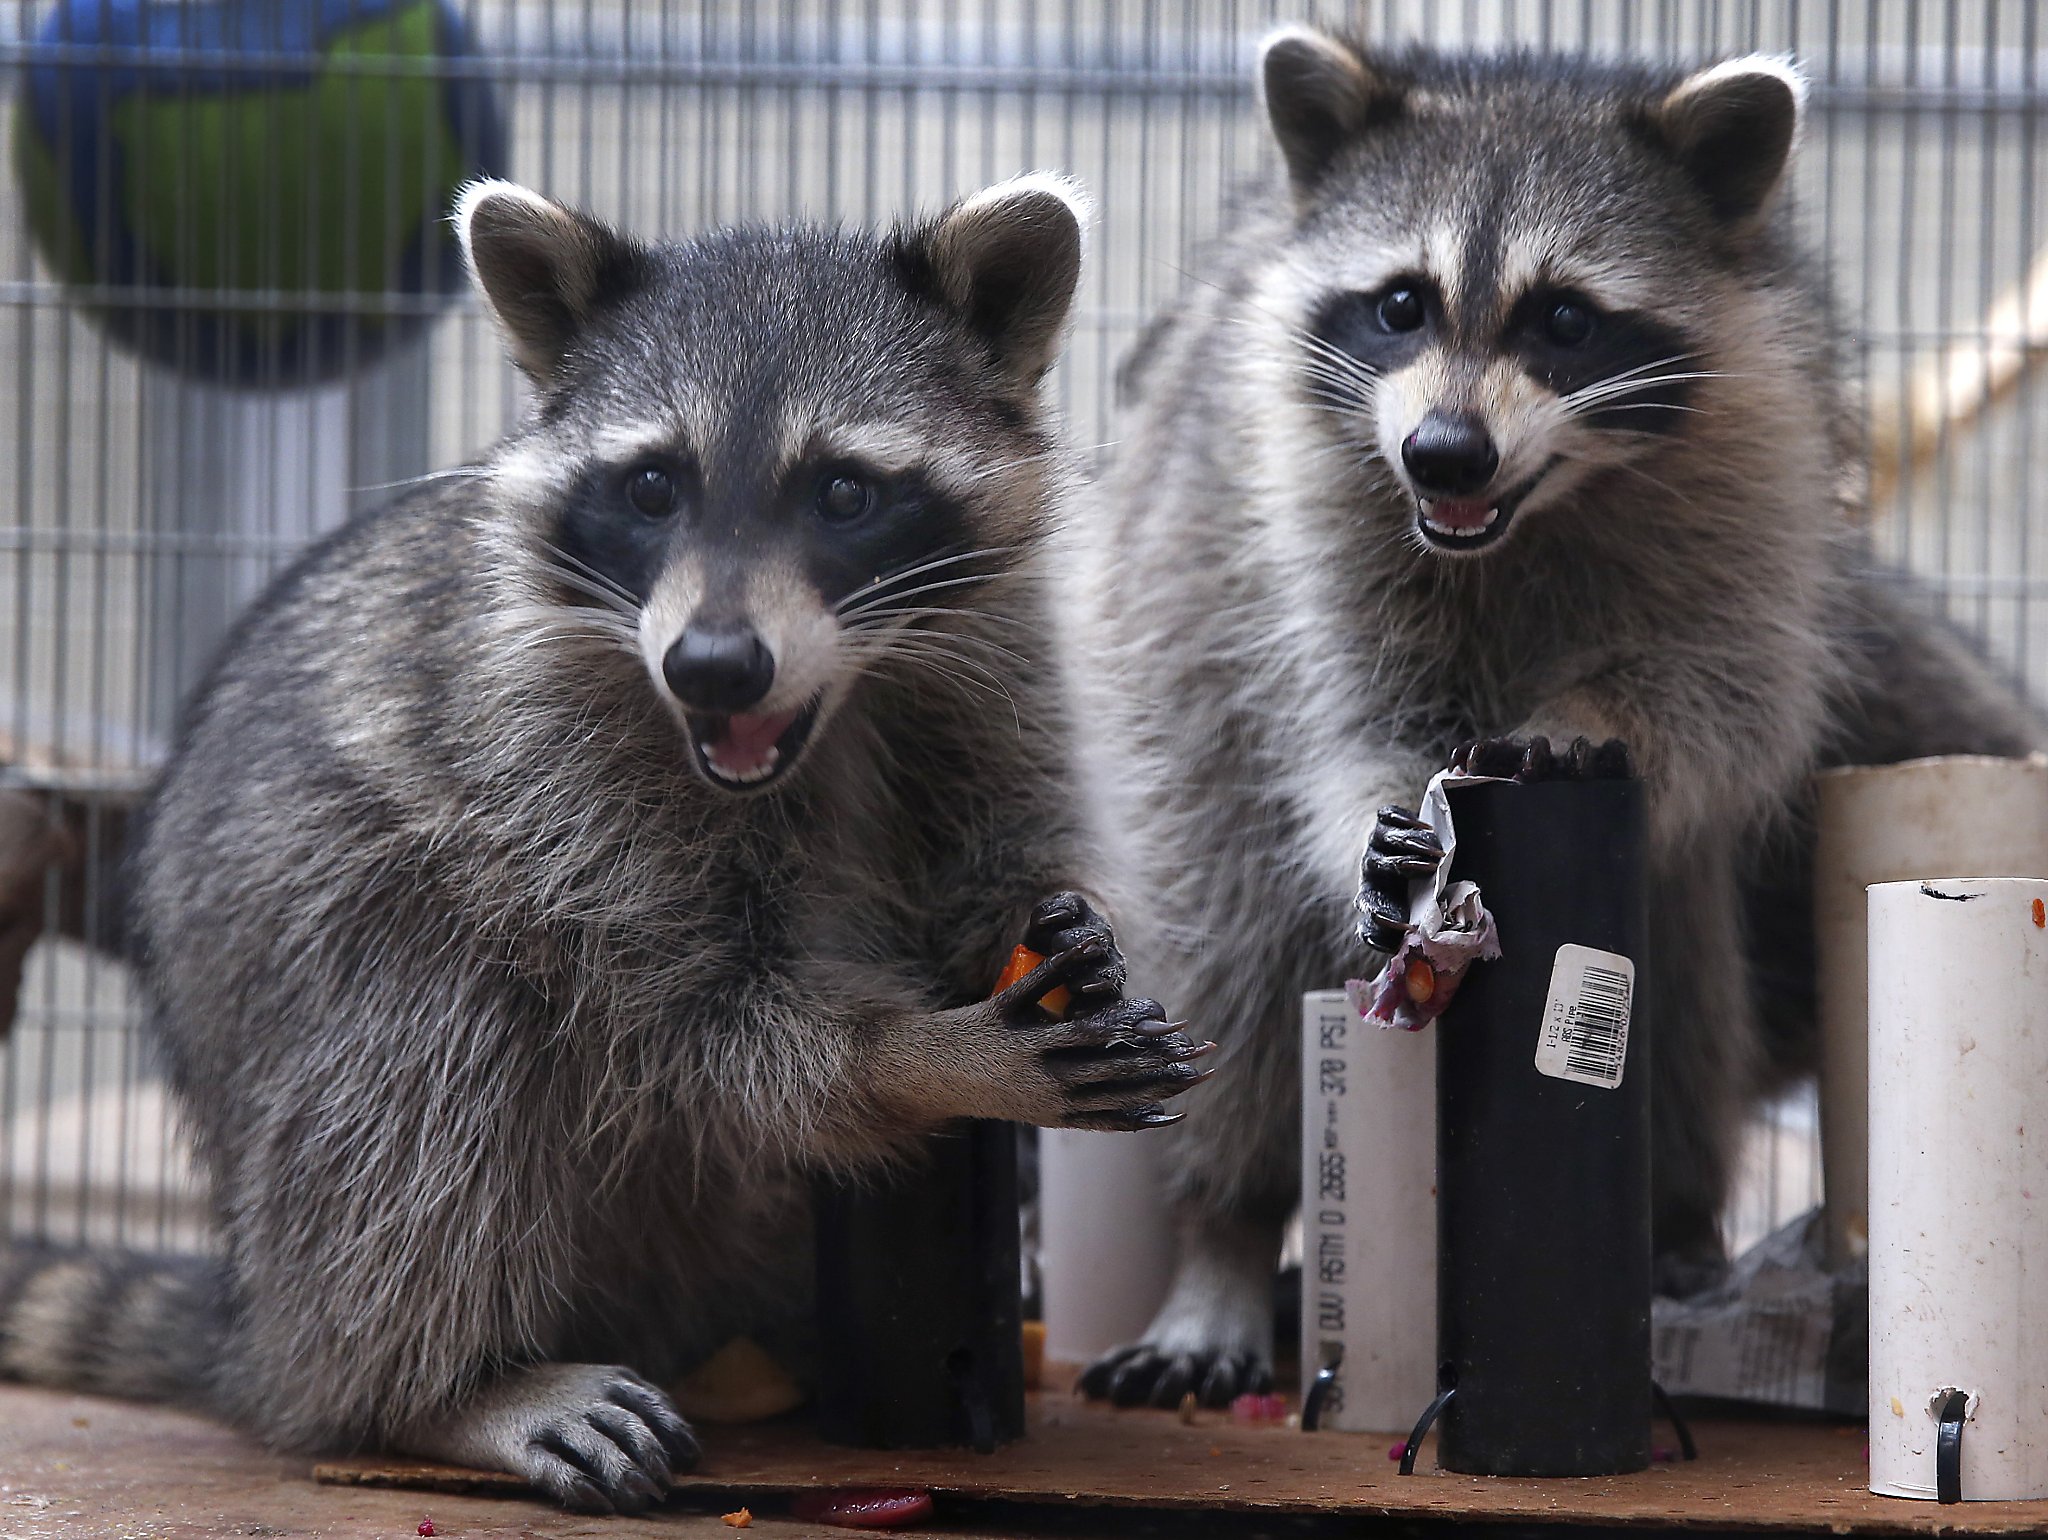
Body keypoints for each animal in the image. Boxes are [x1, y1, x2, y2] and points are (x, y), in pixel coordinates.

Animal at [0, 175, 1211, 1508]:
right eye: (651, 487)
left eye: (842, 492)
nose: (713, 665)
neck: (827, 710)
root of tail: (259, 1324)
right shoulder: (552, 783)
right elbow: (693, 1019)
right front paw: (921, 1054)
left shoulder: (995, 665)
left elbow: (995, 846)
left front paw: (1052, 914)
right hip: (310, 984)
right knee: (413, 1062)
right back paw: (429, 1389)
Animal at [1070, 31, 2043, 1407]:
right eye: (1401, 305)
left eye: (1565, 319)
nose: (1442, 453)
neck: (1515, 517)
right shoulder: (1291, 494)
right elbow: (1337, 700)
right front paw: (1375, 814)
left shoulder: (1759, 454)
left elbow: (1725, 692)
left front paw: (1592, 711)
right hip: (1171, 669)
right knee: (1233, 926)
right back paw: (1225, 1231)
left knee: (1682, 944)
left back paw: (1676, 1227)